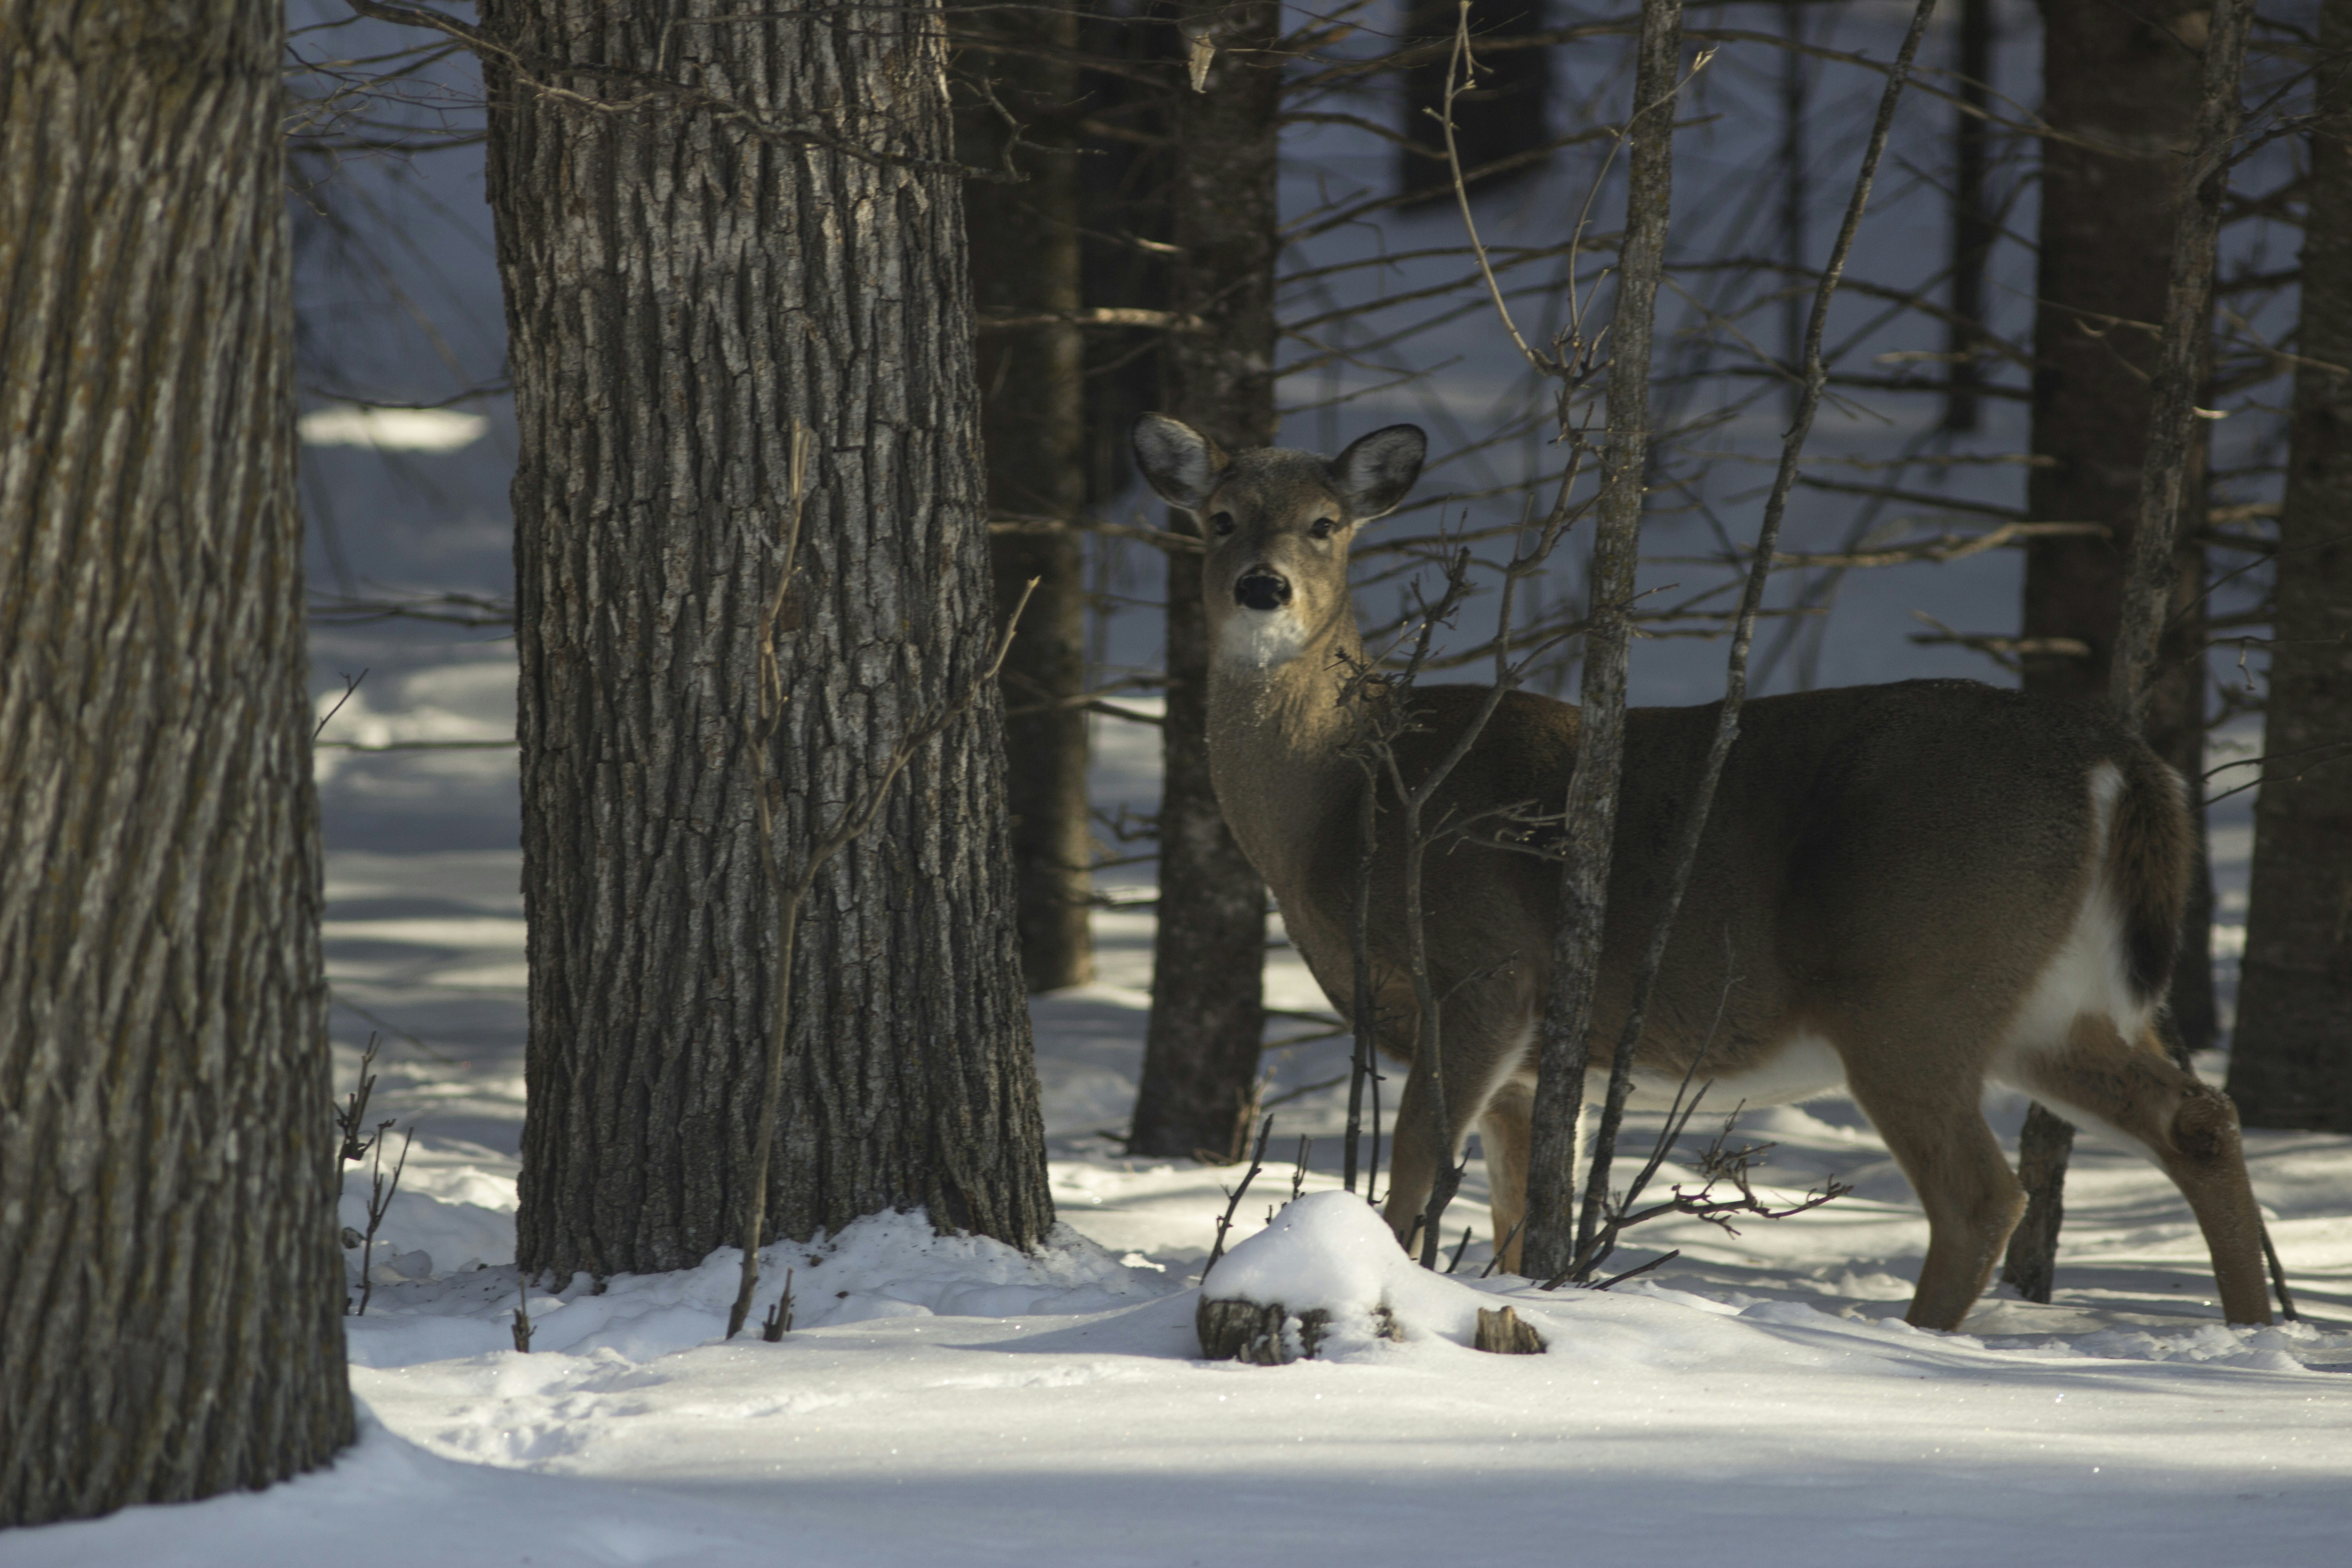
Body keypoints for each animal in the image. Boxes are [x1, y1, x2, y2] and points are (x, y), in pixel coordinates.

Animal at [1132, 412, 2274, 1332]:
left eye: (1326, 522)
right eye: (1221, 516)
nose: (1263, 587)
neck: (1345, 797)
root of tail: (2114, 756)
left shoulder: (1484, 967)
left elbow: (1416, 1164)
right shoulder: (1527, 1050)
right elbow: (1511, 1210)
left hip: (1912, 981)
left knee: (1981, 1193)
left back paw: (1919, 1344)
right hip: (2048, 995)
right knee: (2197, 1118)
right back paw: (2252, 1330)